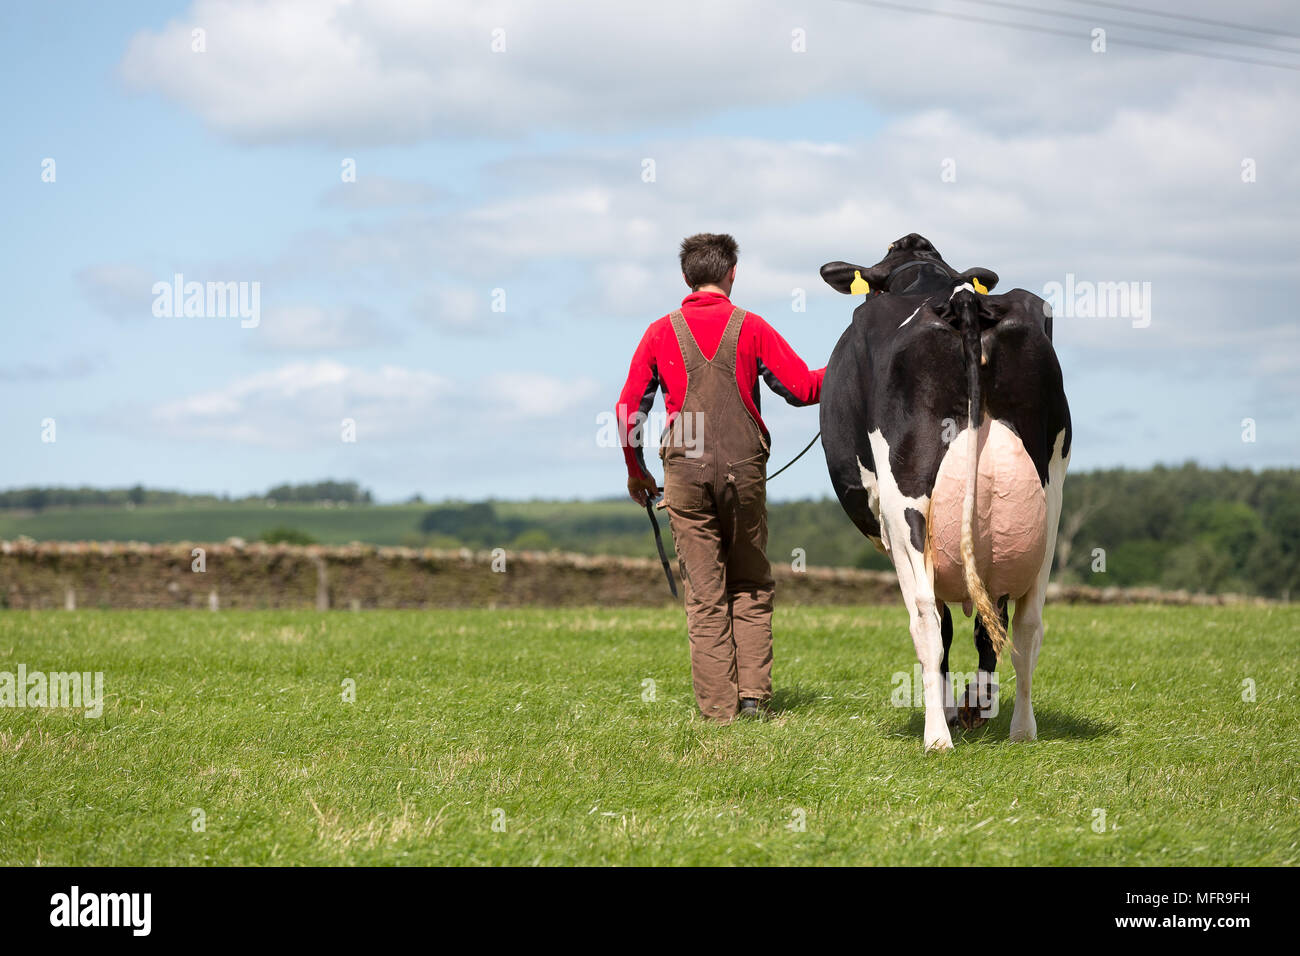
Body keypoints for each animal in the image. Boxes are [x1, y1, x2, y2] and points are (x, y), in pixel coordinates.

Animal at [818, 233, 1071, 751]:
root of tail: (964, 299)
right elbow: (987, 623)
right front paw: (978, 704)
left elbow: (947, 622)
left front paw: (959, 710)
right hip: (1049, 501)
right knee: (1026, 623)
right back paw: (1022, 729)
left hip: (906, 506)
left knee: (927, 623)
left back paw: (936, 735)